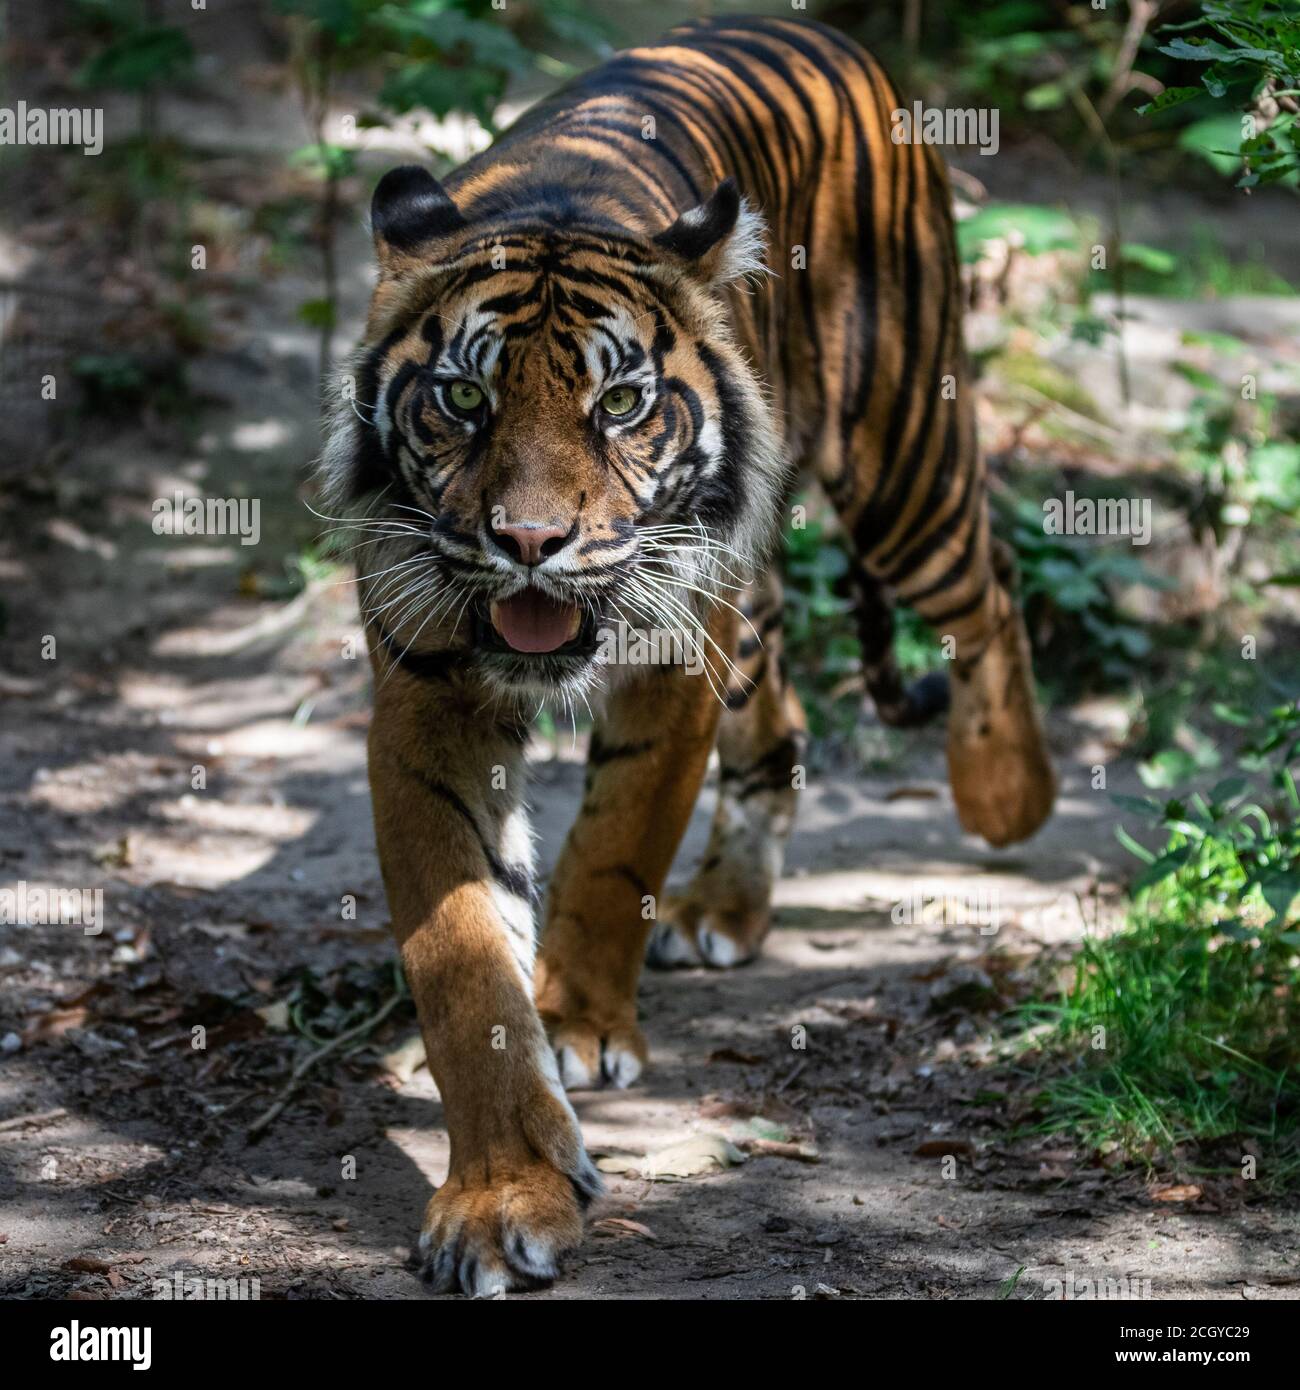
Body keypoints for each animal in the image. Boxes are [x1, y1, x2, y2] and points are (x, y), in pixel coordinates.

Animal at [320, 13, 1056, 1296]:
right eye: (461, 398)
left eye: (618, 403)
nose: (528, 541)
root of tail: (821, 30)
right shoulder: (426, 701)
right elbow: (463, 967)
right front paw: (503, 1193)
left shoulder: (672, 663)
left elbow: (616, 848)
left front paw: (574, 1021)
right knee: (788, 722)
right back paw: (728, 902)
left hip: (899, 462)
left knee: (991, 586)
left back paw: (1007, 793)